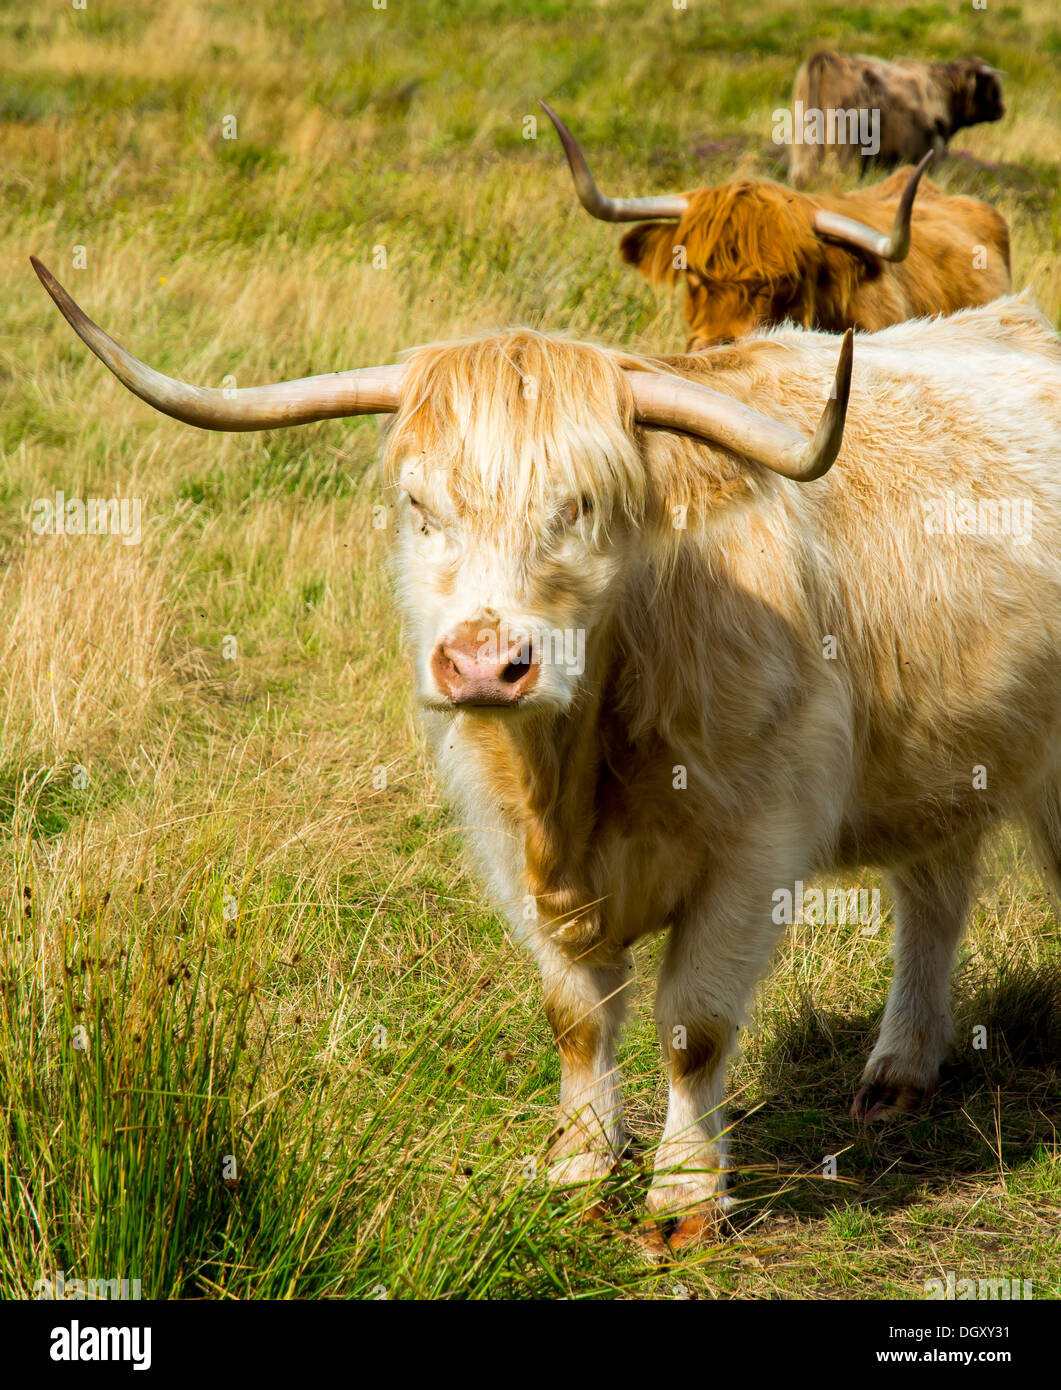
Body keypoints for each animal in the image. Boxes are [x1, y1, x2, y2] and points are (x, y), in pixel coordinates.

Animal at [32, 255, 1061, 1253]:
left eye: (582, 506)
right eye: (419, 504)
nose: (485, 664)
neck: (576, 774)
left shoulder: (757, 842)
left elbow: (692, 1023)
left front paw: (682, 1199)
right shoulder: (509, 844)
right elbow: (574, 1016)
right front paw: (578, 1174)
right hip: (948, 761)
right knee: (933, 896)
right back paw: (899, 1071)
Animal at [790, 50, 1006, 188]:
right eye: (993, 87)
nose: (1002, 110)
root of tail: (829, 58)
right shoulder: (929, 150)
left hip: (805, 141)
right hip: (845, 145)